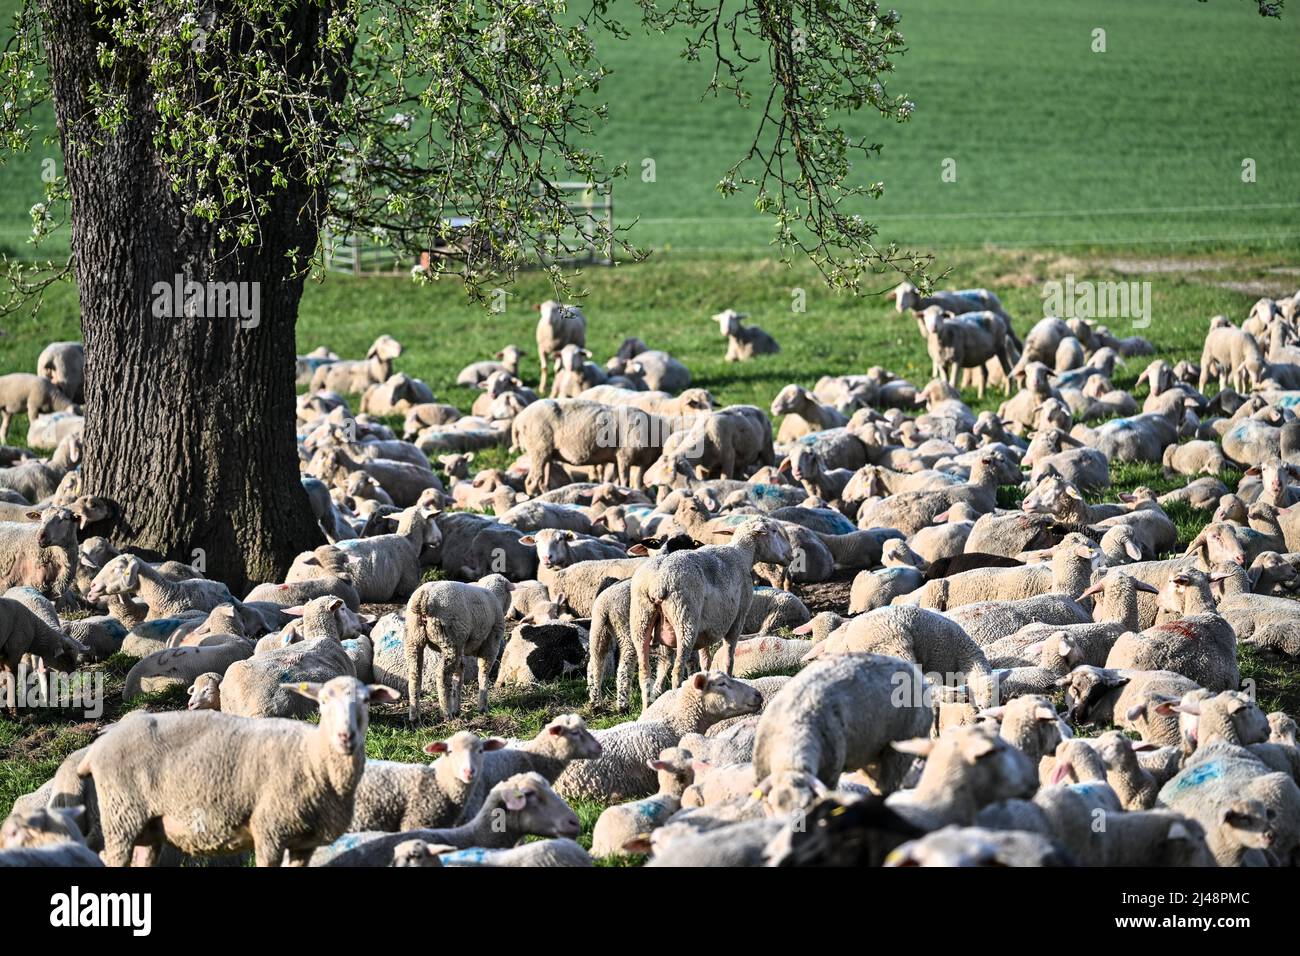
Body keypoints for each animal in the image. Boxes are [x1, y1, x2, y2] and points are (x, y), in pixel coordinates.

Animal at [80, 676, 399, 866]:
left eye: (366, 701)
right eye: (322, 702)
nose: (346, 736)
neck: (312, 755)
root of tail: (97, 747)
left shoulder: (303, 843)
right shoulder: (269, 829)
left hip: (147, 826)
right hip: (122, 815)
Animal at [403, 574, 513, 720]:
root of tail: (424, 597)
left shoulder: (462, 648)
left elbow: (458, 678)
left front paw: (457, 709)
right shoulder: (491, 643)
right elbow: (483, 674)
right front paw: (482, 707)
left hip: (414, 638)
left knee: (414, 675)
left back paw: (415, 716)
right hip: (451, 640)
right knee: (441, 675)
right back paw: (446, 713)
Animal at [628, 516, 792, 706]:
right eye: (774, 531)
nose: (791, 555)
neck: (742, 555)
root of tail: (658, 583)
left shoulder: (705, 629)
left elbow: (705, 660)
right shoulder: (738, 617)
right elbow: (728, 657)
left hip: (640, 619)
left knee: (644, 673)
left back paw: (647, 708)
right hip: (685, 618)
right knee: (677, 670)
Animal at [752, 653, 933, 810]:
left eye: (807, 805)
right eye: (774, 805)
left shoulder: (829, 775)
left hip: (902, 747)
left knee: (888, 784)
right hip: (871, 753)